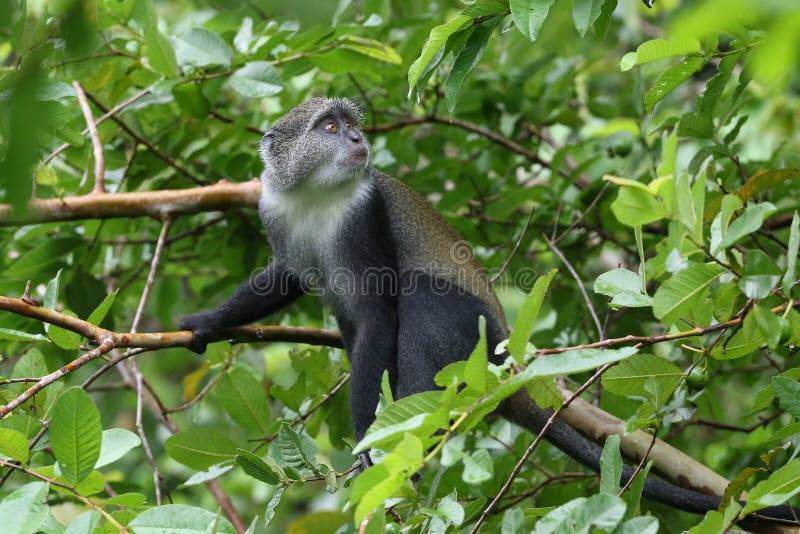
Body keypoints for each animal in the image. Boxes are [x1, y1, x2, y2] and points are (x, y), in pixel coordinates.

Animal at [180, 97, 798, 525]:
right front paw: (207, 323)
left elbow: (381, 314)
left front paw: (368, 442)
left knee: (421, 296)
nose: (355, 136)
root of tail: (505, 366)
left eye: (348, 123)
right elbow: (282, 278)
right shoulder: (274, 209)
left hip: (472, 332)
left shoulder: (364, 215)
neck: (316, 195)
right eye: (328, 127)